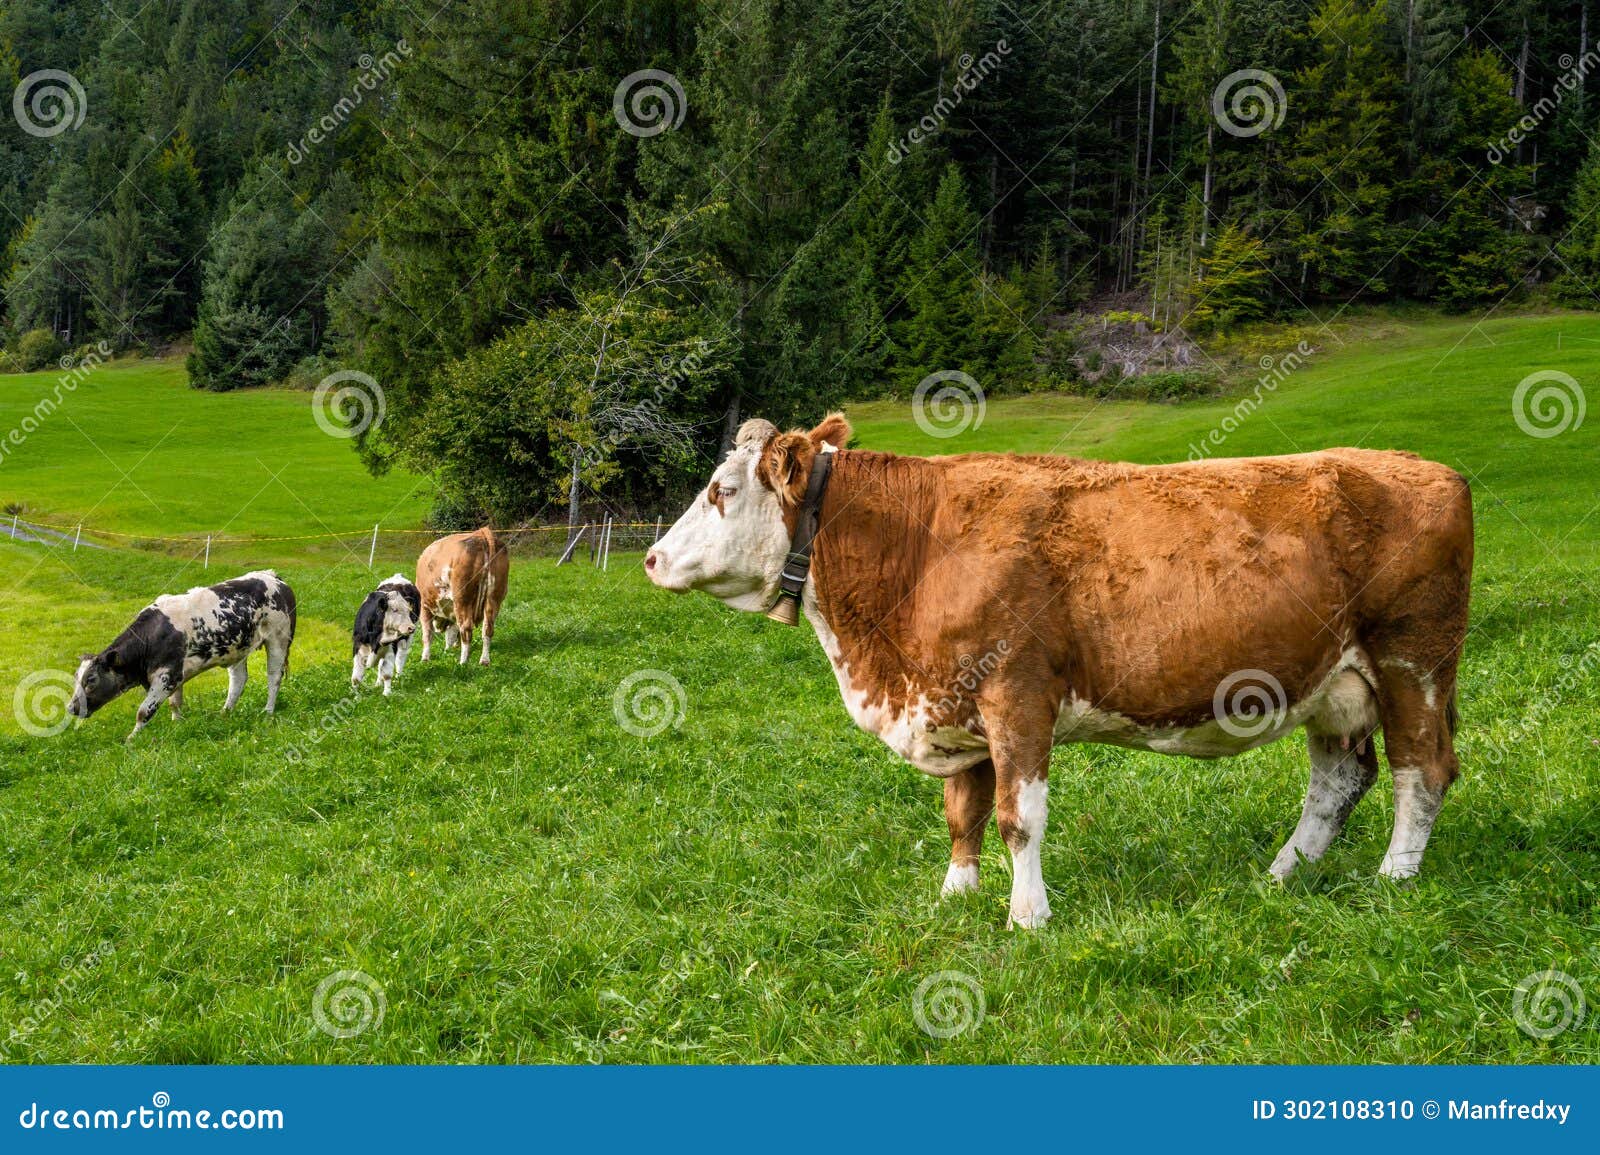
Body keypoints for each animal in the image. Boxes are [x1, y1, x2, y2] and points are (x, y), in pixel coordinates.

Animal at [67, 570, 297, 739]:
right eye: (76, 678)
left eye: (91, 679)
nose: (71, 708)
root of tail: (273, 577)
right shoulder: (176, 675)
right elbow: (174, 702)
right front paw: (177, 724)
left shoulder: (167, 676)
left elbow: (144, 711)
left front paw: (131, 740)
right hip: (237, 647)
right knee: (238, 680)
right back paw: (225, 713)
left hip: (278, 638)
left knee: (273, 677)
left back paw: (268, 712)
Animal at [416, 526, 509, 666]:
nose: (448, 649)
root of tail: (481, 534)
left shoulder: (424, 606)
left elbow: (427, 634)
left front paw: (425, 658)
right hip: (494, 598)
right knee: (488, 629)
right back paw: (484, 660)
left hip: (462, 599)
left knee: (466, 628)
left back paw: (463, 662)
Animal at [645, 415, 1473, 929]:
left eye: (721, 491)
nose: (650, 557)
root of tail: (1425, 466)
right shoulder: (955, 703)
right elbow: (964, 811)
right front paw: (957, 894)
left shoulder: (1017, 693)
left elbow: (1019, 815)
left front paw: (1027, 916)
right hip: (1334, 682)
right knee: (1339, 779)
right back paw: (1283, 873)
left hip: (1414, 660)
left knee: (1423, 768)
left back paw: (1394, 876)